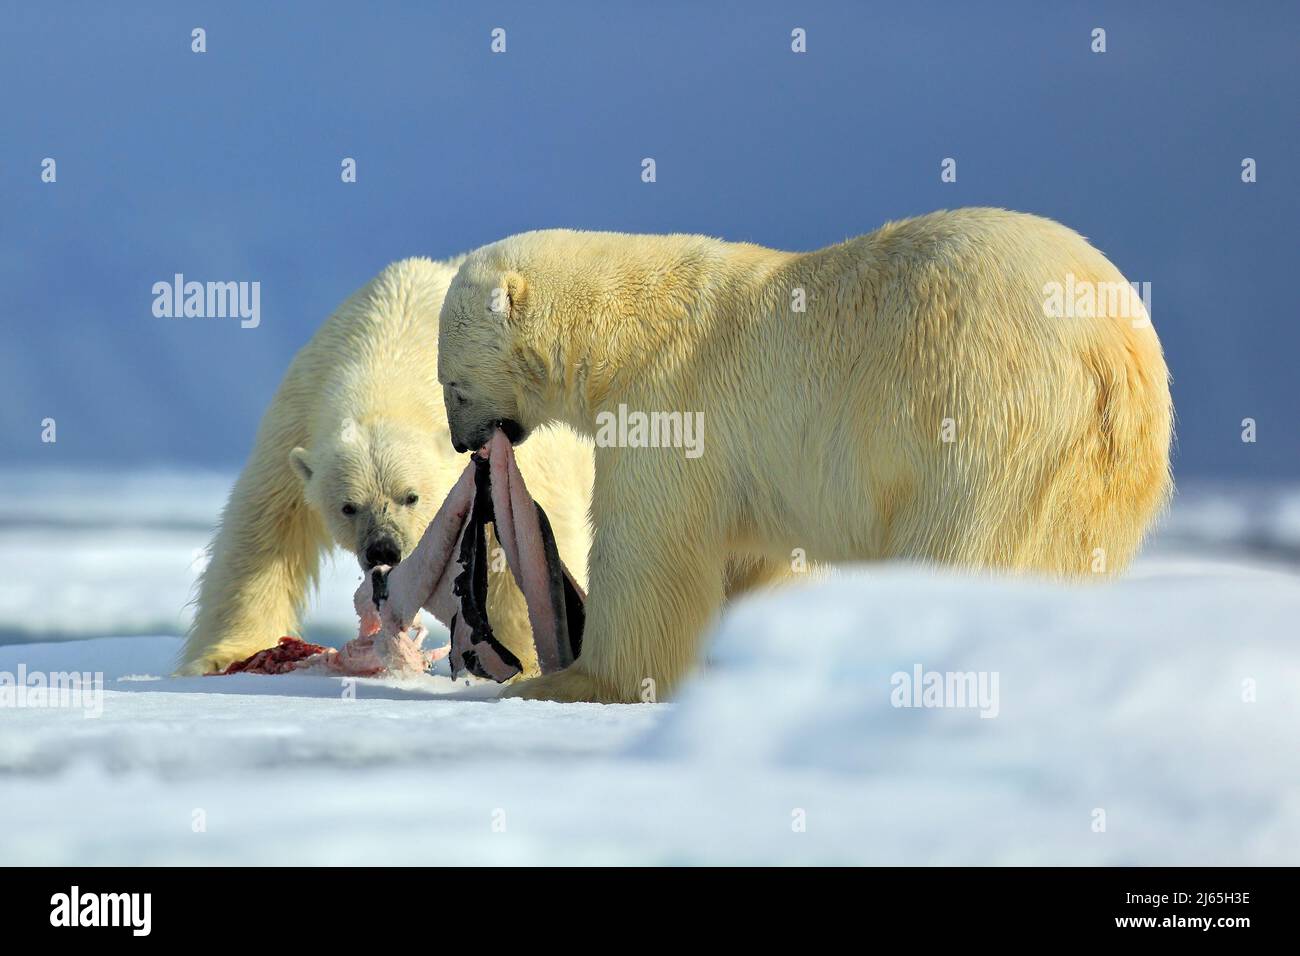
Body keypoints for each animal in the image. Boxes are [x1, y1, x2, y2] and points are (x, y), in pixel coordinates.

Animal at [177, 257, 595, 676]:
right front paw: (223, 655)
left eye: (411, 497)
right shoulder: (298, 412)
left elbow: (520, 541)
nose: (383, 550)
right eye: (348, 506)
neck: (393, 341)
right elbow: (264, 531)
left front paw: (525, 661)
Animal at [436, 208, 1174, 704]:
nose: (463, 442)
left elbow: (650, 553)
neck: (625, 329)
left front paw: (574, 681)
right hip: (1104, 463)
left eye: (450, 383)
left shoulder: (671, 403)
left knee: (959, 542)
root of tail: (1109, 345)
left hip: (974, 406)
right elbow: (758, 559)